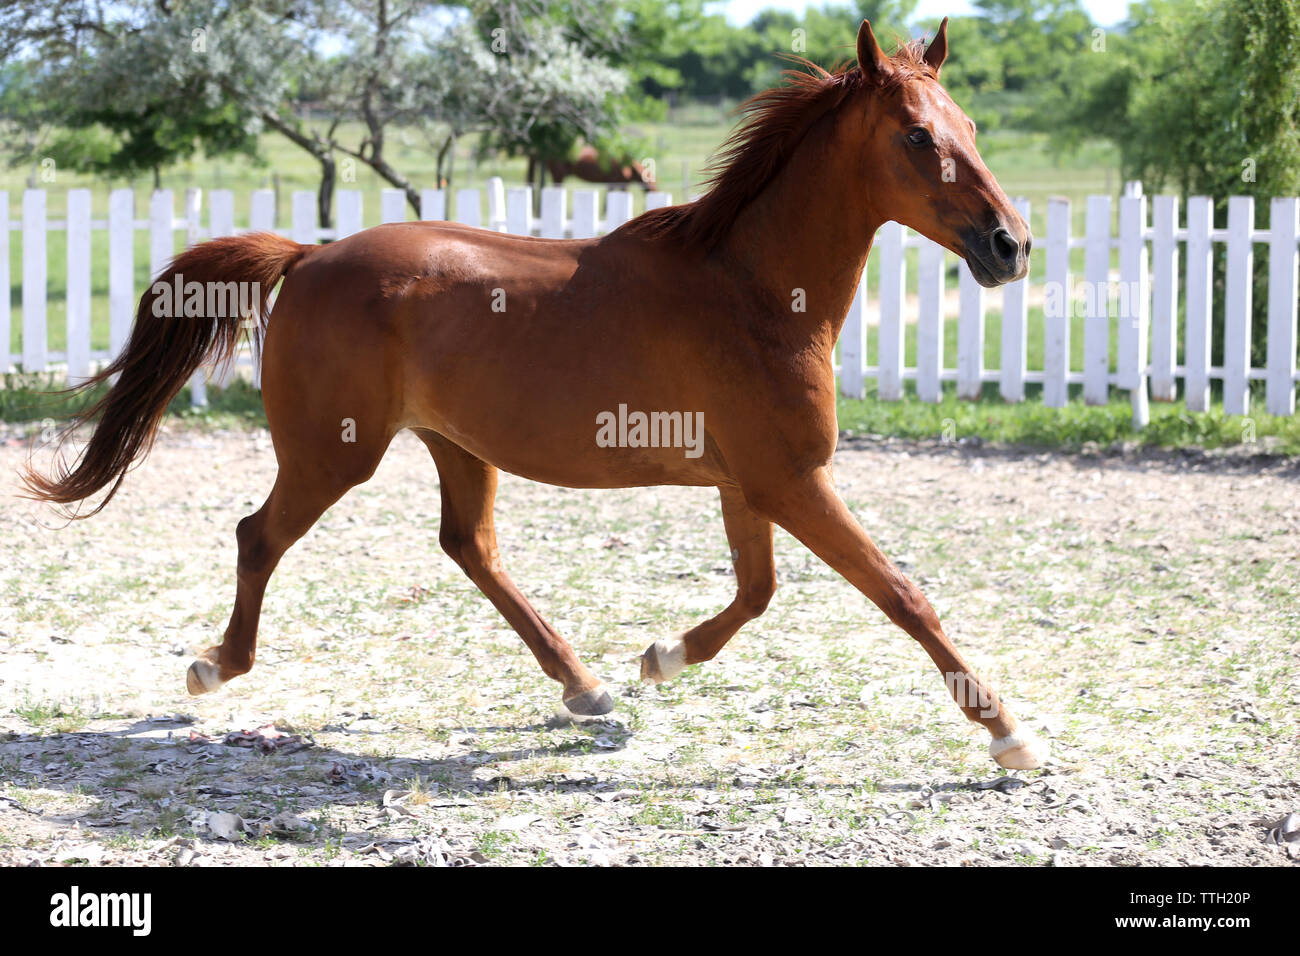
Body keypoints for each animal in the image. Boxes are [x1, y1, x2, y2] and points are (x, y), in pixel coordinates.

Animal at [24, 19, 1045, 770]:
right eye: (917, 135)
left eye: (973, 129)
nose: (1011, 246)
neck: (750, 290)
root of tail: (311, 256)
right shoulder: (789, 481)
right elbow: (902, 597)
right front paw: (1009, 734)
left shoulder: (750, 484)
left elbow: (757, 594)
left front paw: (659, 659)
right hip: (334, 451)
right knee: (259, 536)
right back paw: (212, 669)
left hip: (454, 445)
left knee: (468, 548)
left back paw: (585, 687)